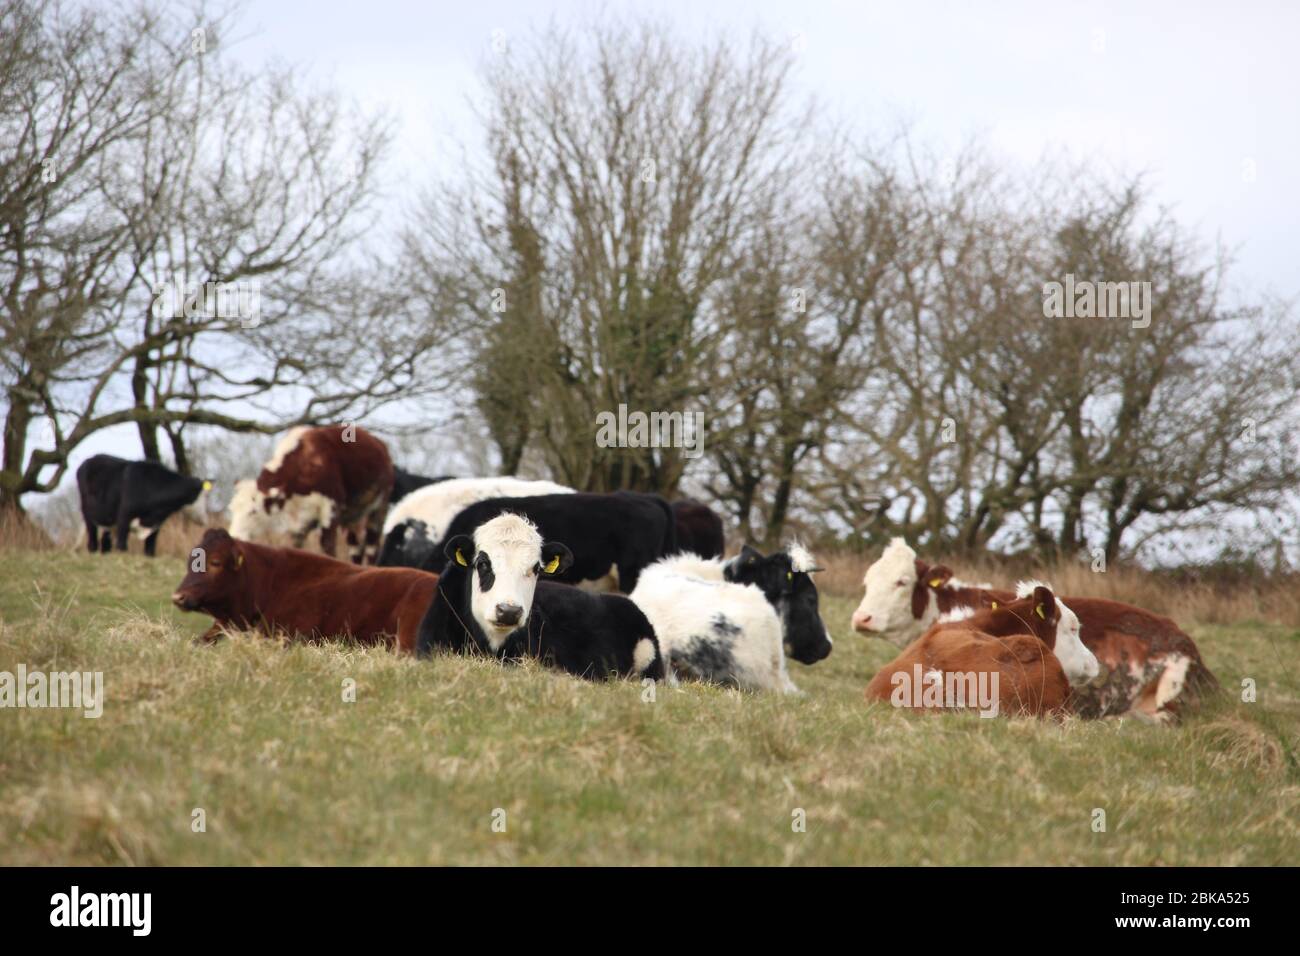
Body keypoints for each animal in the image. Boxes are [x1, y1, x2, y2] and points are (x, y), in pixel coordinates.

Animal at [76, 455, 211, 557]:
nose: (205, 520)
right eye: (204, 496)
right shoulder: (124, 516)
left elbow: (150, 548)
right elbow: (122, 545)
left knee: (105, 543)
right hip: (87, 513)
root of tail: (88, 460)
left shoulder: (155, 525)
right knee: (92, 539)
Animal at [228, 425, 393, 564]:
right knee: (356, 550)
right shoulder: (299, 525)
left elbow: (328, 547)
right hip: (353, 517)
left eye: (253, 511)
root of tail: (380, 444)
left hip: (379, 509)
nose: (234, 536)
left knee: (372, 548)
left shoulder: (330, 511)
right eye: (232, 510)